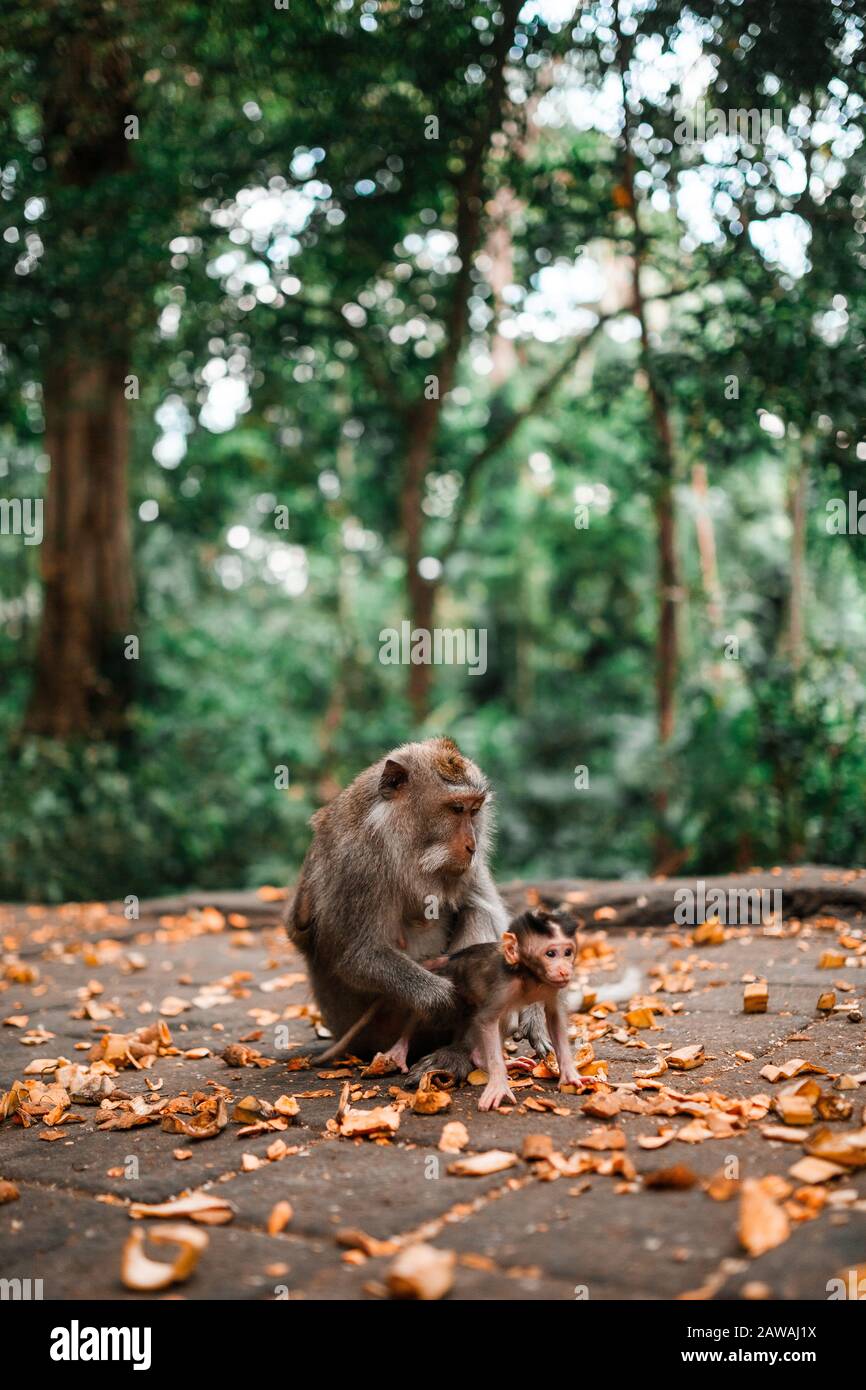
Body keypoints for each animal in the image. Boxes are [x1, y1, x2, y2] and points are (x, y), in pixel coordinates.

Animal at [285, 737, 552, 1083]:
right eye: (456, 809)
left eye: (474, 810)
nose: (472, 846)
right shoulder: (356, 862)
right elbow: (358, 955)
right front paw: (445, 999)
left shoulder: (470, 868)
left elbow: (497, 920)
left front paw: (533, 1012)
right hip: (376, 1032)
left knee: (476, 911)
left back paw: (458, 1053)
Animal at [367, 908, 582, 1111]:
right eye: (550, 954)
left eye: (568, 952)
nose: (565, 970)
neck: (529, 976)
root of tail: (451, 958)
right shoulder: (505, 987)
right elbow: (486, 1020)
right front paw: (498, 1084)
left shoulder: (550, 987)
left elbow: (555, 1018)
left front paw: (569, 1074)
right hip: (449, 979)